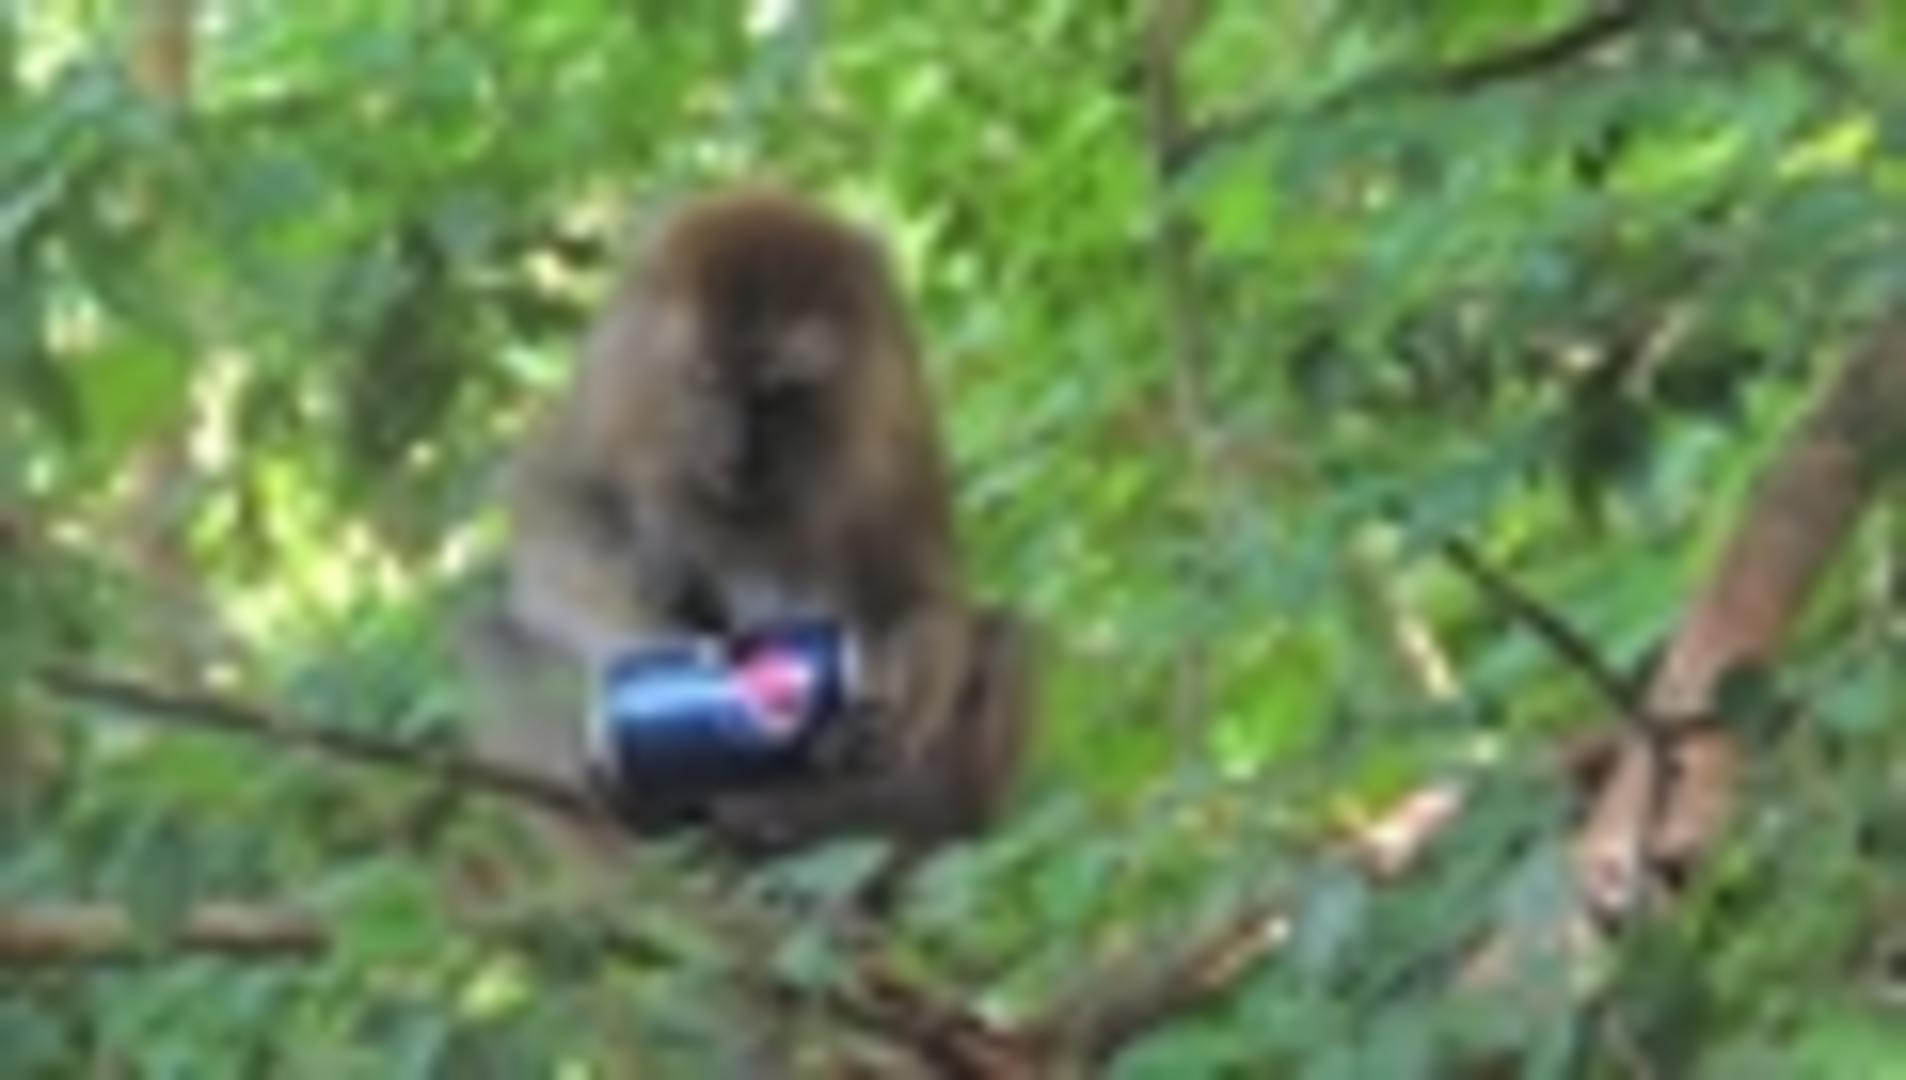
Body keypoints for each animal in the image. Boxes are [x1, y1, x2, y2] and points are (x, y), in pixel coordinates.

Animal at [493, 187, 1033, 855]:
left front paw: (902, 698)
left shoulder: (894, 401)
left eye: (779, 392)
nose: (737, 455)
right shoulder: (613, 380)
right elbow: (556, 509)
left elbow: (922, 588)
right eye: (708, 380)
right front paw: (655, 655)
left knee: (1010, 637)